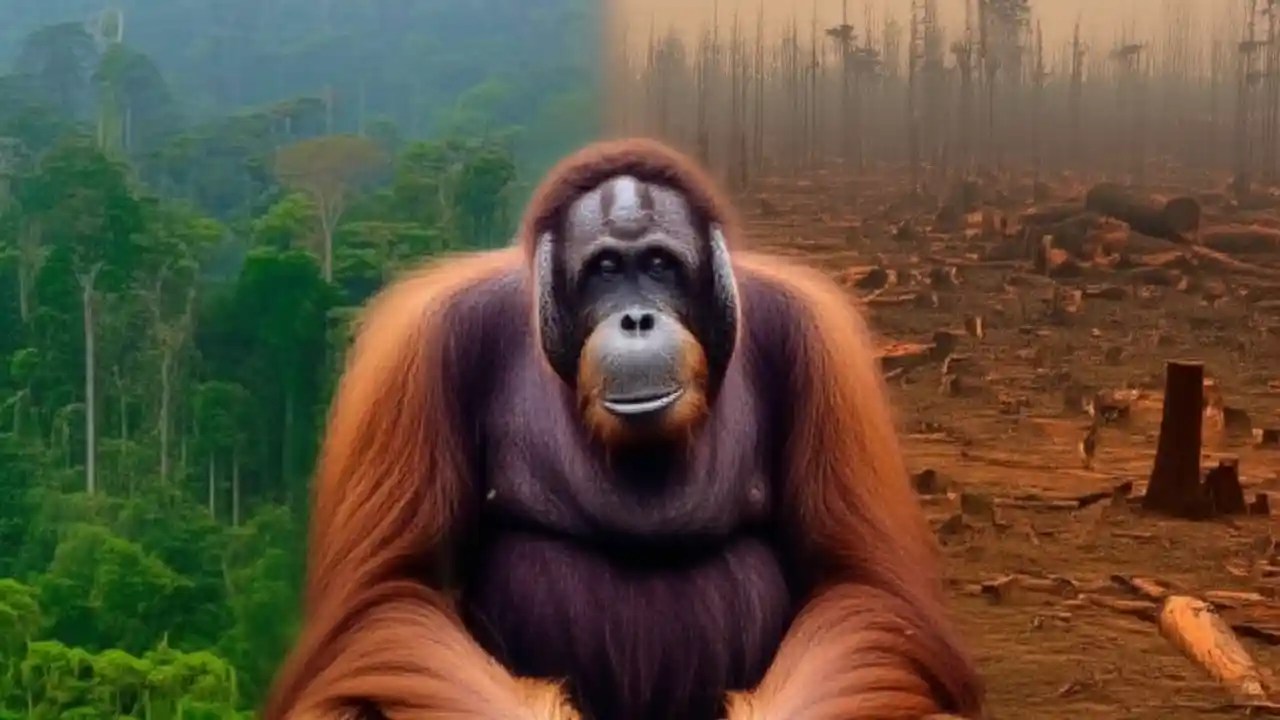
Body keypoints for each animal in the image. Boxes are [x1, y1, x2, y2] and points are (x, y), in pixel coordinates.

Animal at [263, 138, 984, 720]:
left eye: (660, 265)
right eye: (606, 269)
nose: (637, 319)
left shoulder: (818, 340)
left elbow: (865, 588)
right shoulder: (422, 343)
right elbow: (387, 595)